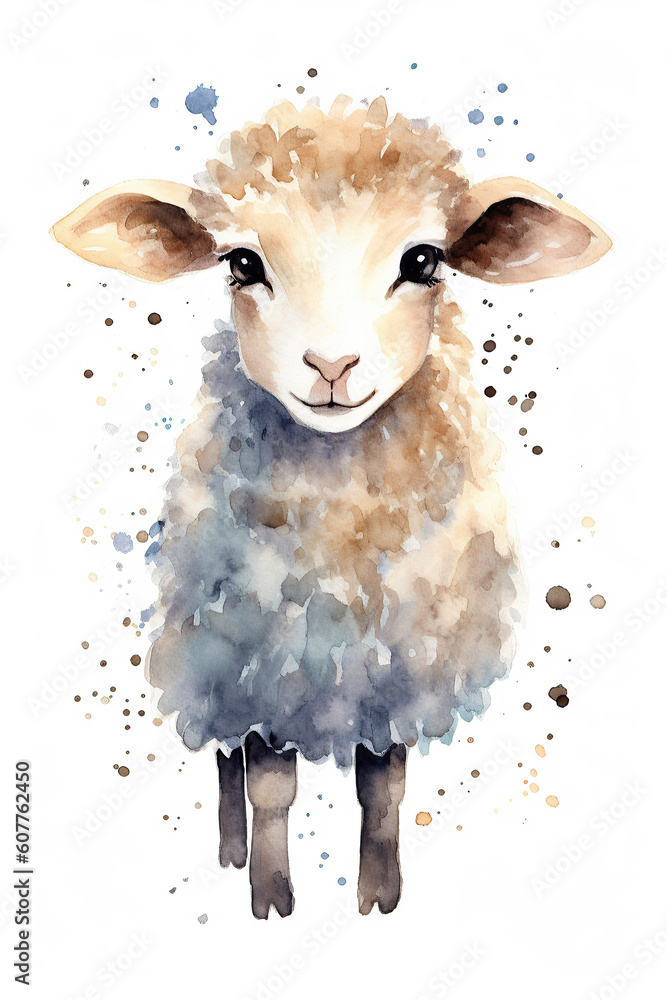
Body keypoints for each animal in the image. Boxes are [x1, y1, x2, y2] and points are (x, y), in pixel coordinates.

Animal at [51, 95, 611, 919]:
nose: (331, 366)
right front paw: (271, 897)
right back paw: (230, 852)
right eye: (241, 263)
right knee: (226, 763)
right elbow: (270, 789)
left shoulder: (400, 668)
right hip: (211, 659)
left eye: (422, 262)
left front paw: (379, 895)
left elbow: (385, 791)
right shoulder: (263, 669)